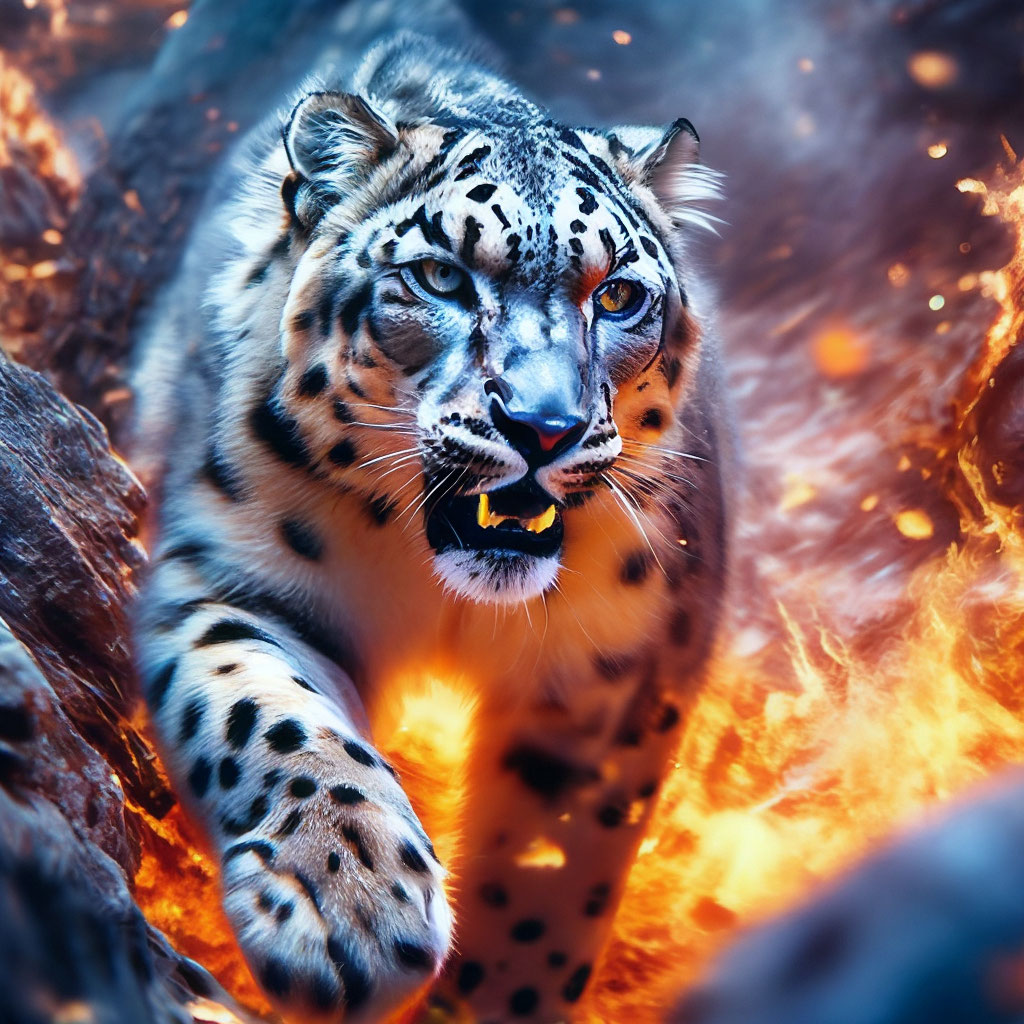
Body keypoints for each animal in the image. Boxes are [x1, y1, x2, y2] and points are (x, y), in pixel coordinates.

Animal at [132, 32, 728, 1024]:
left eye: (617, 296)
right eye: (442, 276)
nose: (543, 426)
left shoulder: (620, 667)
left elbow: (547, 888)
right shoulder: (228, 574)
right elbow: (269, 709)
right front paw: (349, 901)